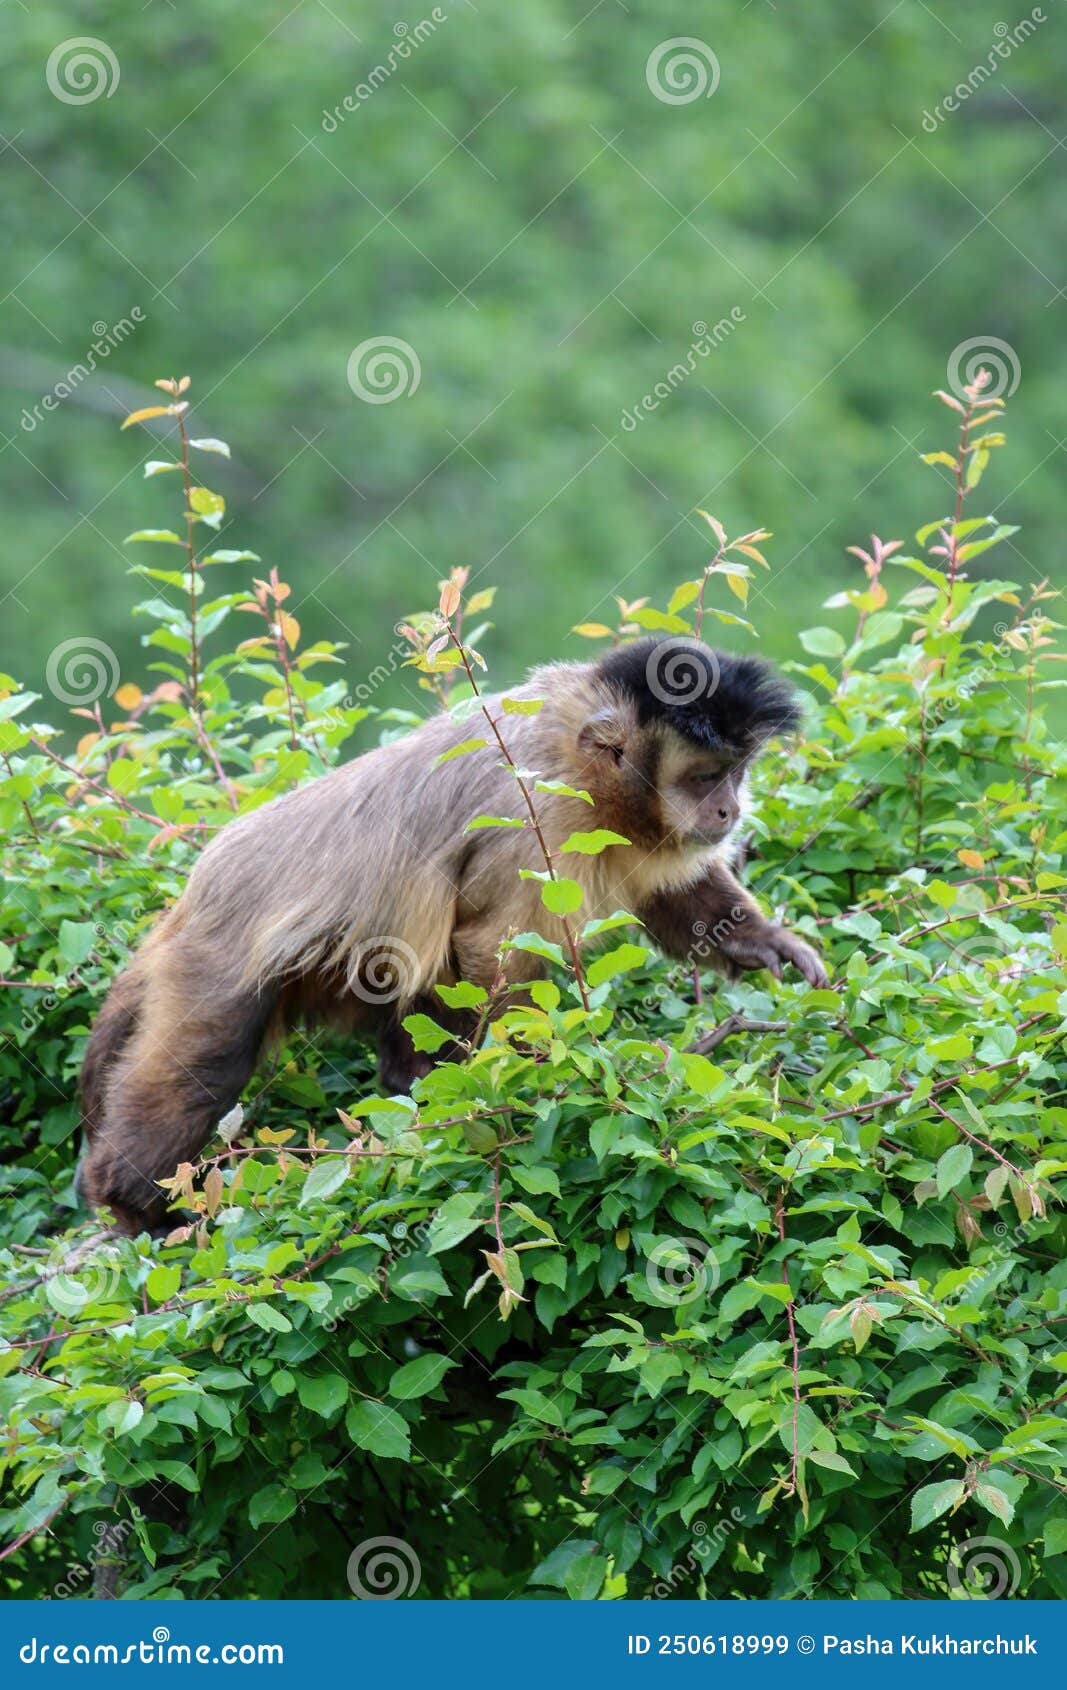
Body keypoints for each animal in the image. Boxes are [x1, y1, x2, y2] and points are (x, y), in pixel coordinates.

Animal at [78, 635, 826, 1234]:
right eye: (704, 779)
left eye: (734, 773)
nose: (729, 809)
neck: (577, 757)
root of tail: (192, 895)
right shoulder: (539, 811)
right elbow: (495, 946)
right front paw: (531, 1083)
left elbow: (670, 896)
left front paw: (766, 943)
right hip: (213, 957)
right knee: (208, 1059)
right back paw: (131, 1204)